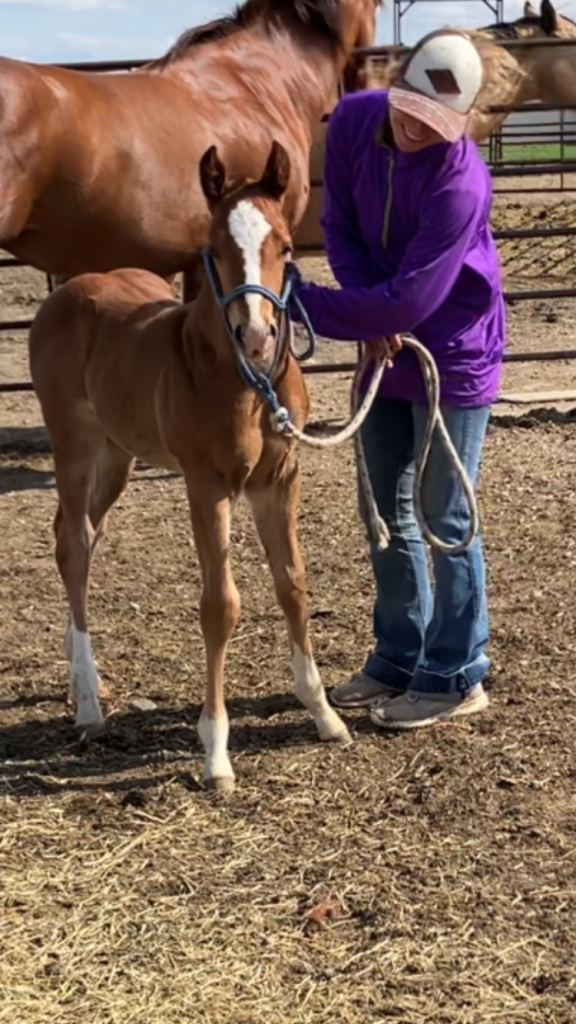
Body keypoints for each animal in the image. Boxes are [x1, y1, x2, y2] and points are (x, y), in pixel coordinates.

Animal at [28, 138, 350, 793]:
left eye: (284, 245)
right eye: (215, 249)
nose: (256, 335)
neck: (247, 385)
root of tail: (67, 293)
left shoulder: (278, 481)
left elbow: (293, 584)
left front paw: (323, 712)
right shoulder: (209, 485)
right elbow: (220, 605)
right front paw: (215, 752)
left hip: (118, 457)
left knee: (80, 536)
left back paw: (79, 676)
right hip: (74, 446)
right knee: (73, 544)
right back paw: (90, 707)